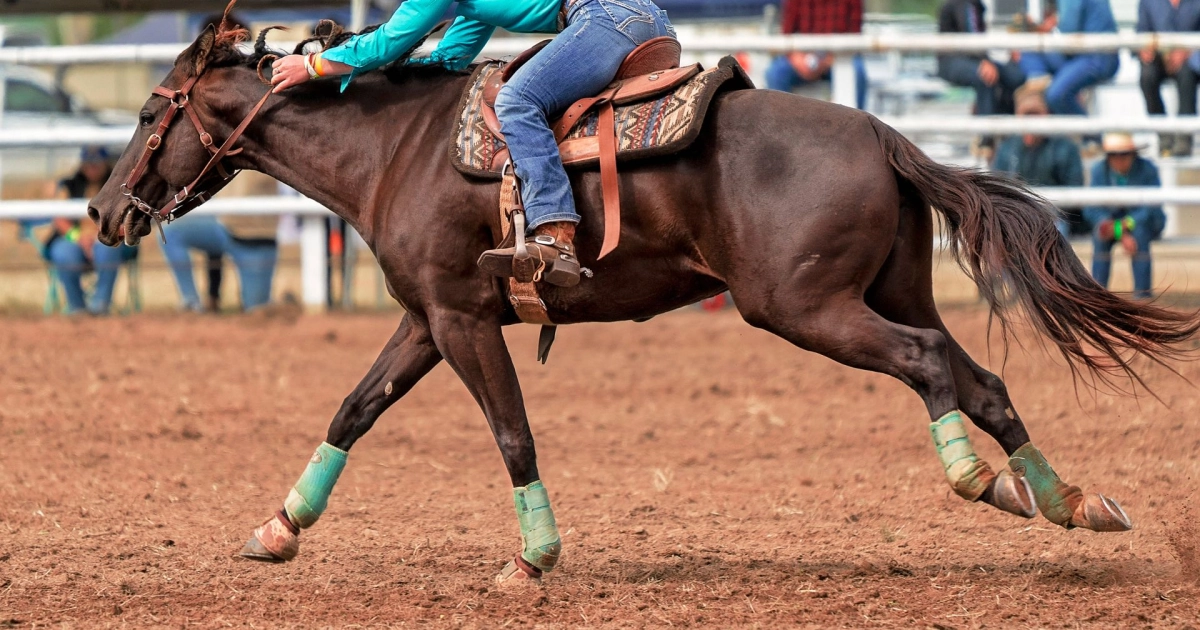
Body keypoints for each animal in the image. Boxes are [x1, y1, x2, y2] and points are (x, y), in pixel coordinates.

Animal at [88, 18, 1199, 584]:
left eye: (146, 110)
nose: (101, 210)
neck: (395, 148)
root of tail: (882, 134)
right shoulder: (425, 318)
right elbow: (354, 408)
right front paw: (280, 528)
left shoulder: (462, 319)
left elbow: (512, 433)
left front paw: (534, 559)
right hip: (890, 291)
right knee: (985, 379)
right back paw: (1068, 500)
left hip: (803, 306)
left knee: (931, 370)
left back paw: (982, 482)